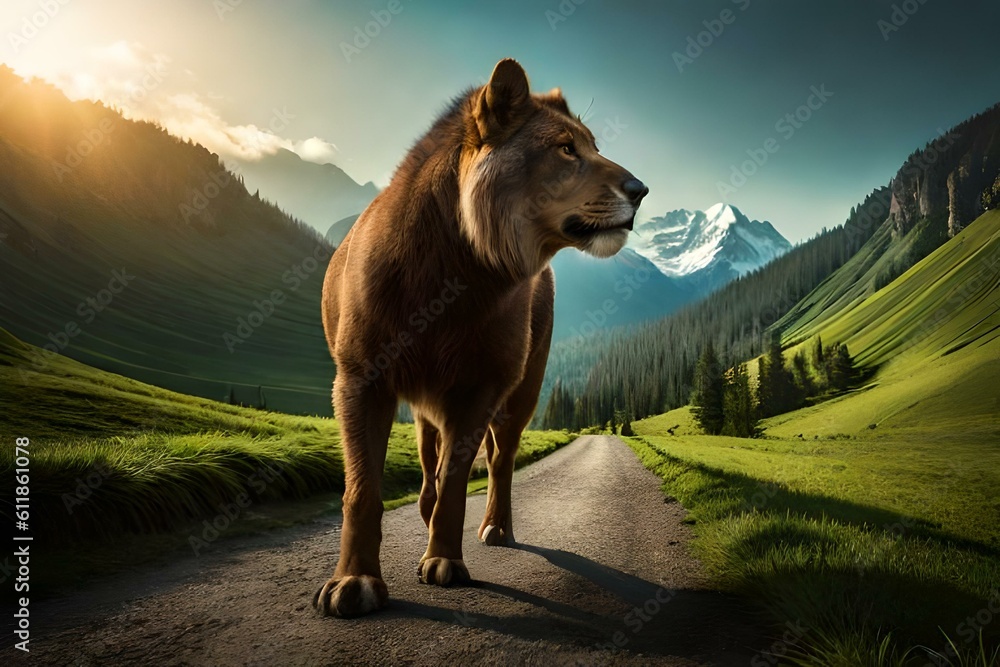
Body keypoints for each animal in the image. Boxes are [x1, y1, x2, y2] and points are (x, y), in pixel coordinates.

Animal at [314, 58, 648, 617]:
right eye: (566, 148)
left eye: (592, 145)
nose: (641, 191)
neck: (457, 270)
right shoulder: (362, 379)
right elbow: (364, 490)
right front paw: (354, 582)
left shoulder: (480, 388)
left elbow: (456, 483)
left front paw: (444, 563)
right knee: (429, 457)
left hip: (522, 393)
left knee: (500, 462)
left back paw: (496, 527)